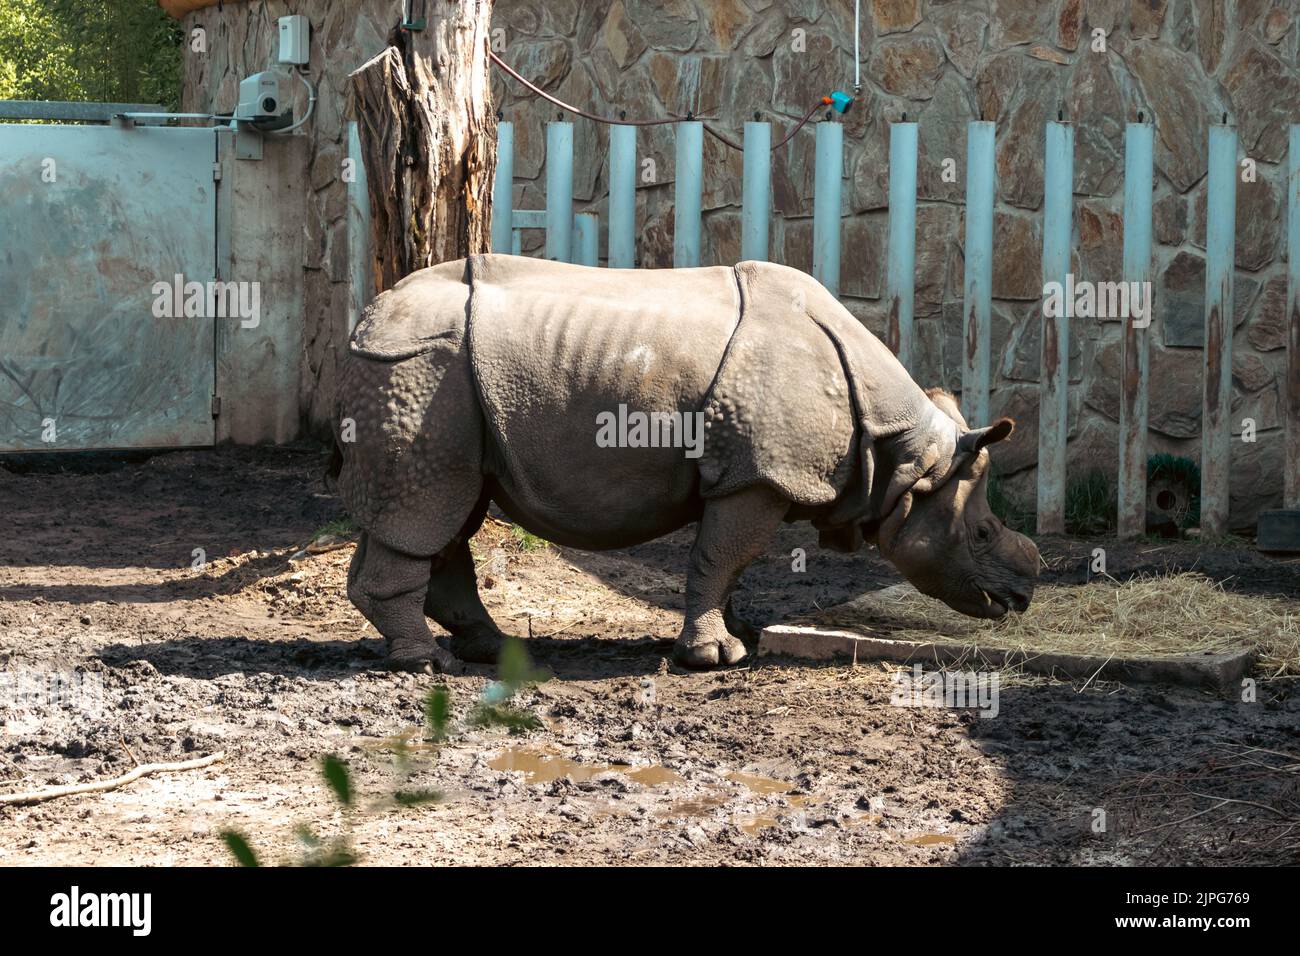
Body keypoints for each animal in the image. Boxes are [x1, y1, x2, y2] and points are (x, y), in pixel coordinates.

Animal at [333, 254, 1039, 672]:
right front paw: (716, 657)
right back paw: (427, 665)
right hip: (420, 371)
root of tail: (365, 319)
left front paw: (740, 633)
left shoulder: (750, 474)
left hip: (443, 382)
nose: (1023, 596)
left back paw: (495, 651)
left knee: (444, 510)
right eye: (981, 534)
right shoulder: (759, 476)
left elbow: (727, 563)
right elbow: (724, 555)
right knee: (430, 504)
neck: (903, 456)